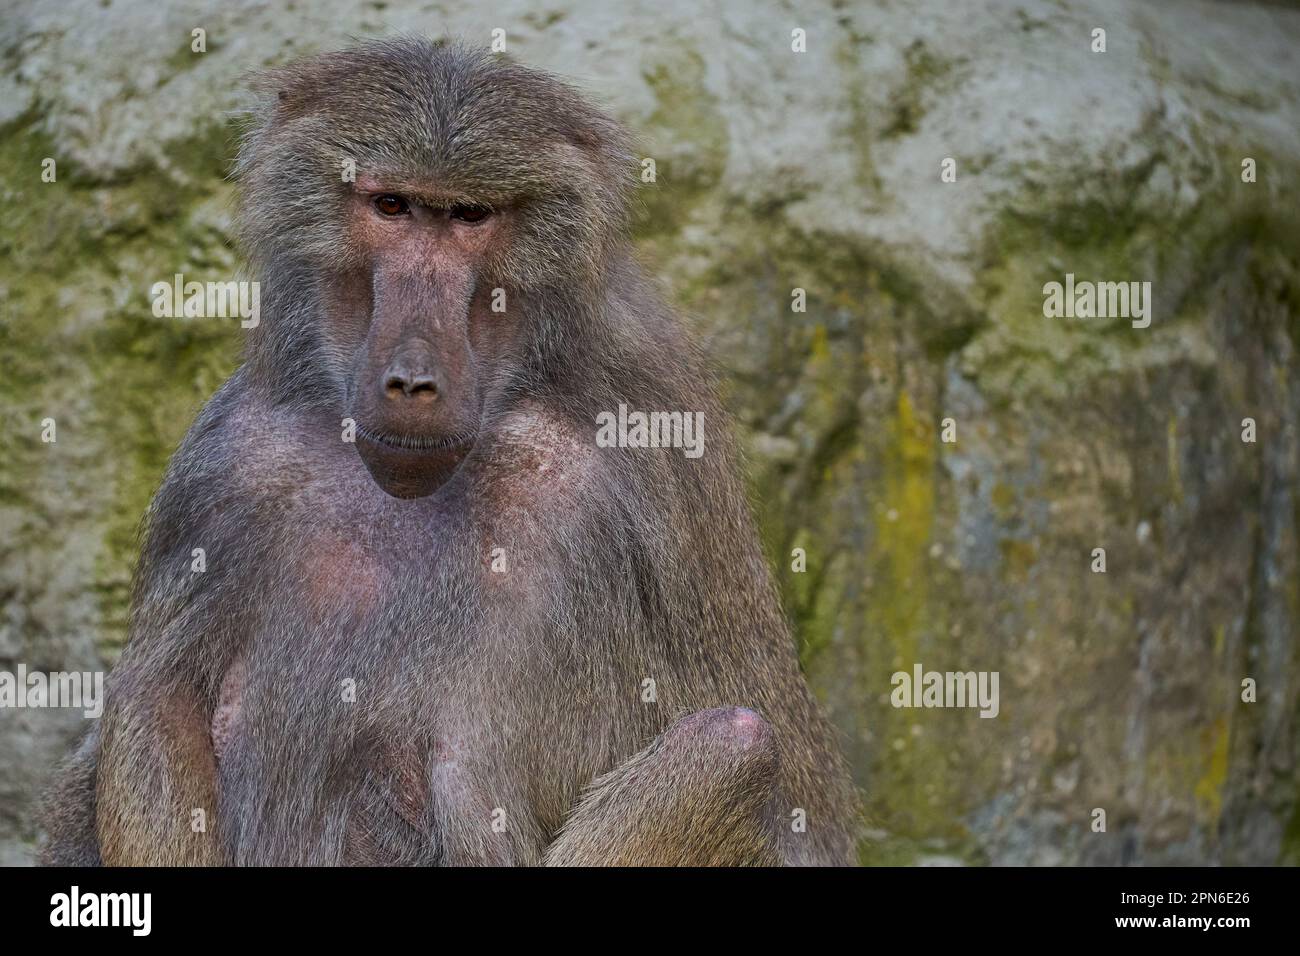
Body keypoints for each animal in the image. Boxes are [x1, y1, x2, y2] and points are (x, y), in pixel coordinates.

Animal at [40, 37, 858, 866]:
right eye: (391, 205)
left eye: (470, 215)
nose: (413, 380)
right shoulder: (231, 461)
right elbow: (156, 699)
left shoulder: (595, 496)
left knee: (735, 747)